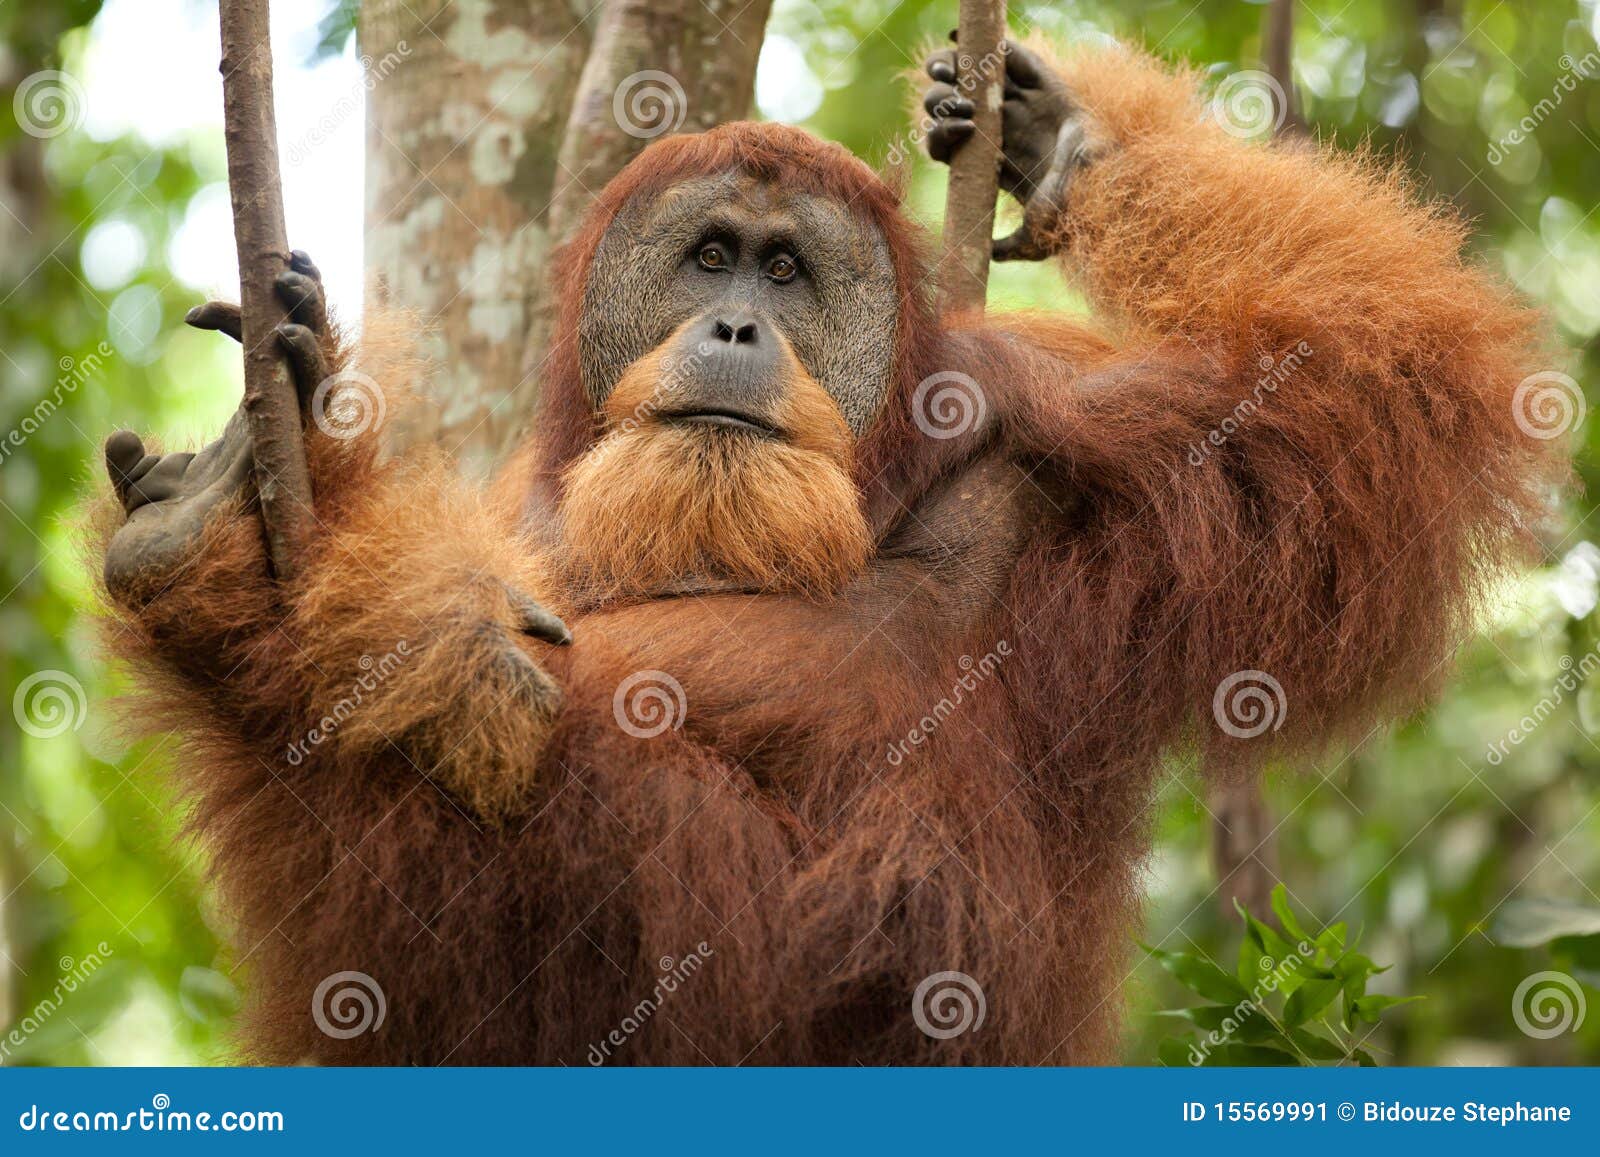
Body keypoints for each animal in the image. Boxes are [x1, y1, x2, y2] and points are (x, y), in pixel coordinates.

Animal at [95, 41, 1562, 1064]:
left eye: (790, 274)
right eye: (708, 259)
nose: (739, 327)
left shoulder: (1056, 410)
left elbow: (1369, 379)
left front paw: (1068, 138)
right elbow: (388, 977)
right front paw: (375, 606)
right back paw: (211, 546)